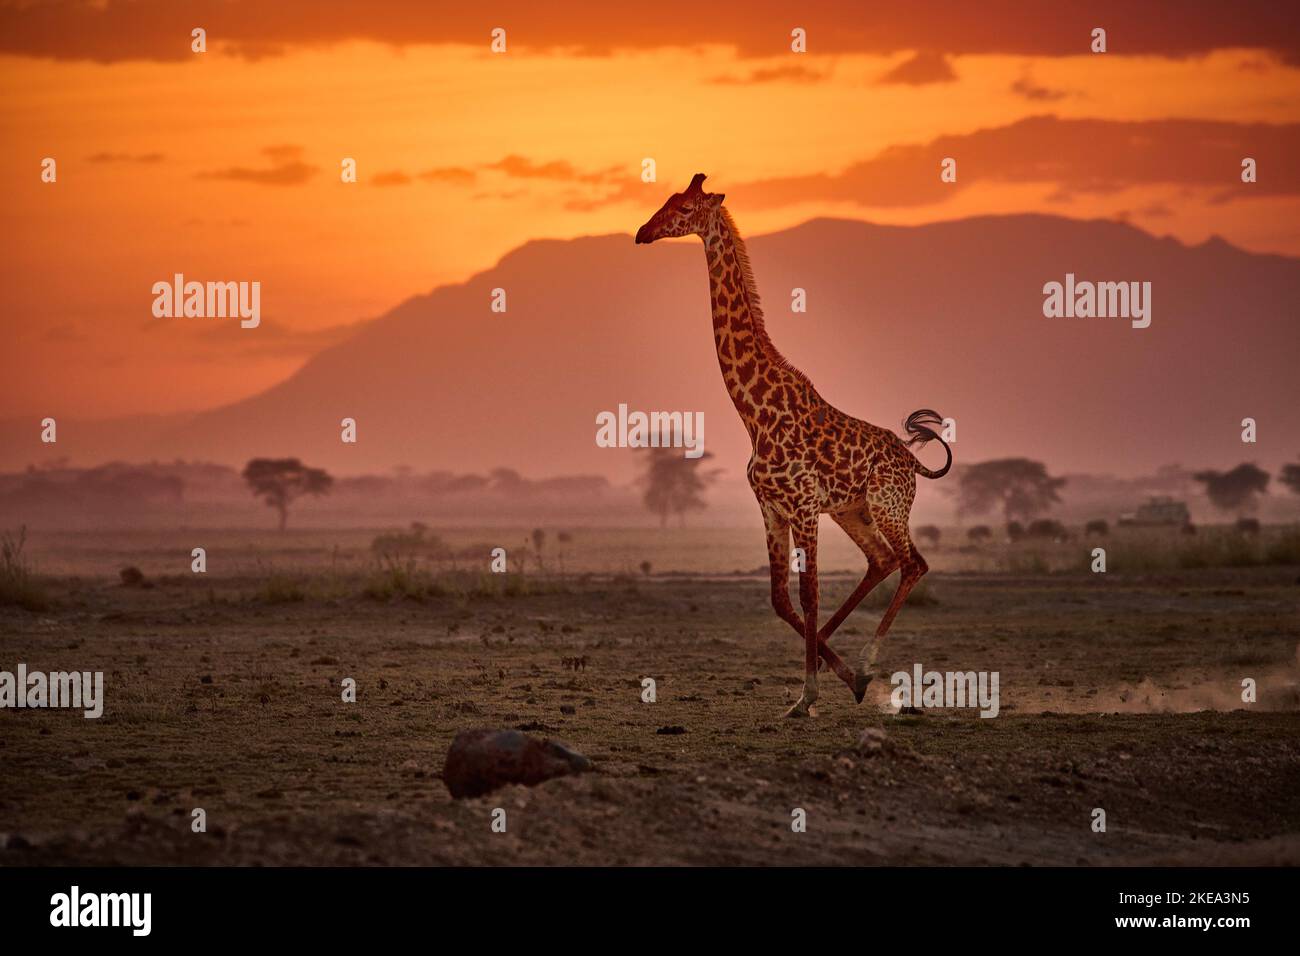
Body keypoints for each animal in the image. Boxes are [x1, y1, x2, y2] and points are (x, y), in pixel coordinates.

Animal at [635, 174, 952, 718]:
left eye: (684, 208)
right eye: (667, 200)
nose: (642, 232)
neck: (754, 412)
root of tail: (913, 461)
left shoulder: (802, 507)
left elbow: (808, 596)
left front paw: (807, 697)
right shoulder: (770, 506)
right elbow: (782, 600)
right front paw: (826, 680)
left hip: (886, 504)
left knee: (913, 562)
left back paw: (863, 665)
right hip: (852, 510)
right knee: (882, 561)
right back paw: (852, 670)